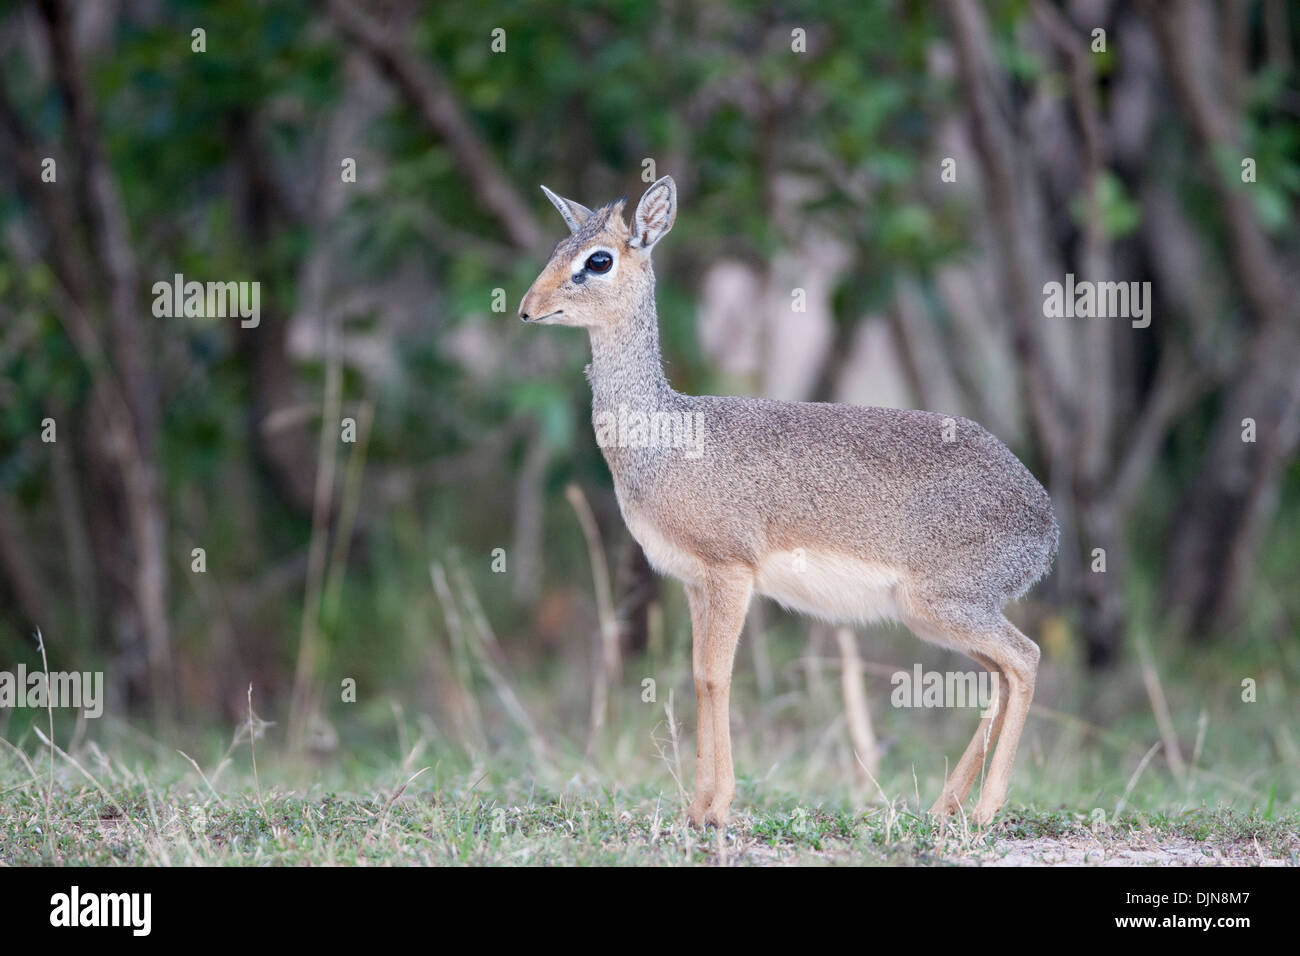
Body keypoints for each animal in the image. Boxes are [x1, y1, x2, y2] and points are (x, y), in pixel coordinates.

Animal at [519, 176, 1058, 827]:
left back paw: (983, 813)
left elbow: (716, 678)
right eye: (559, 245)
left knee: (1025, 660)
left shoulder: (731, 571)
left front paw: (718, 807)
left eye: (598, 260)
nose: (526, 308)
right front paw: (695, 808)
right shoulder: (694, 582)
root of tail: (1046, 521)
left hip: (945, 606)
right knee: (1002, 677)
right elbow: (697, 677)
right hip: (941, 616)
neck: (664, 438)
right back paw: (943, 807)